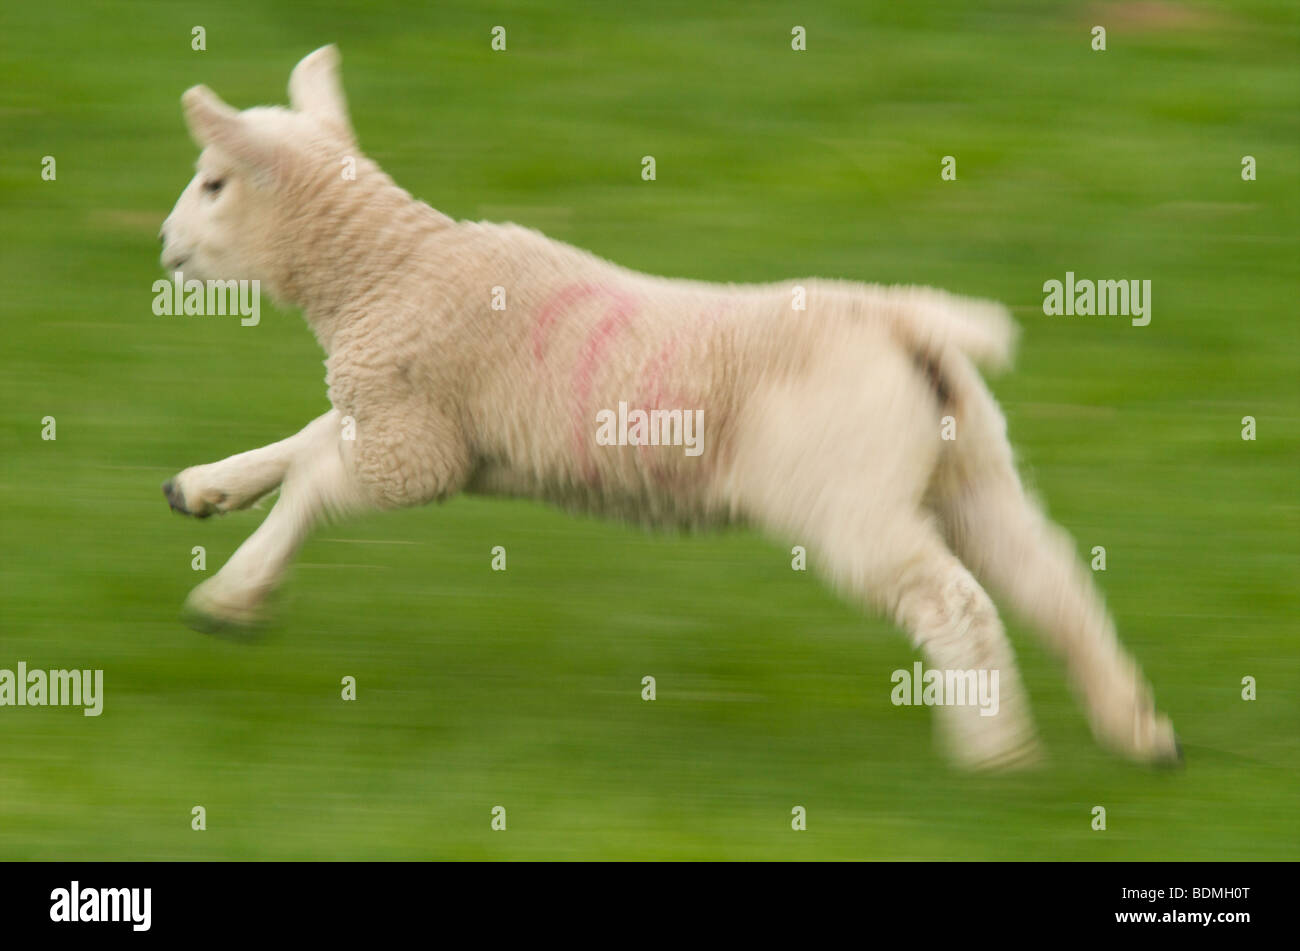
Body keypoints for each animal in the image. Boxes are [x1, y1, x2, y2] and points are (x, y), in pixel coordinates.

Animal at [158, 46, 1180, 770]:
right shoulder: (411, 422)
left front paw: (235, 594)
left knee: (956, 601)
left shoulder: (417, 445)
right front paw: (204, 489)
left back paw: (997, 753)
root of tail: (907, 322)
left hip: (850, 497)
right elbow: (302, 443)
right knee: (1053, 583)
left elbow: (318, 479)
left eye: (213, 182)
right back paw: (1134, 729)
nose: (165, 243)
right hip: (969, 466)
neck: (385, 271)